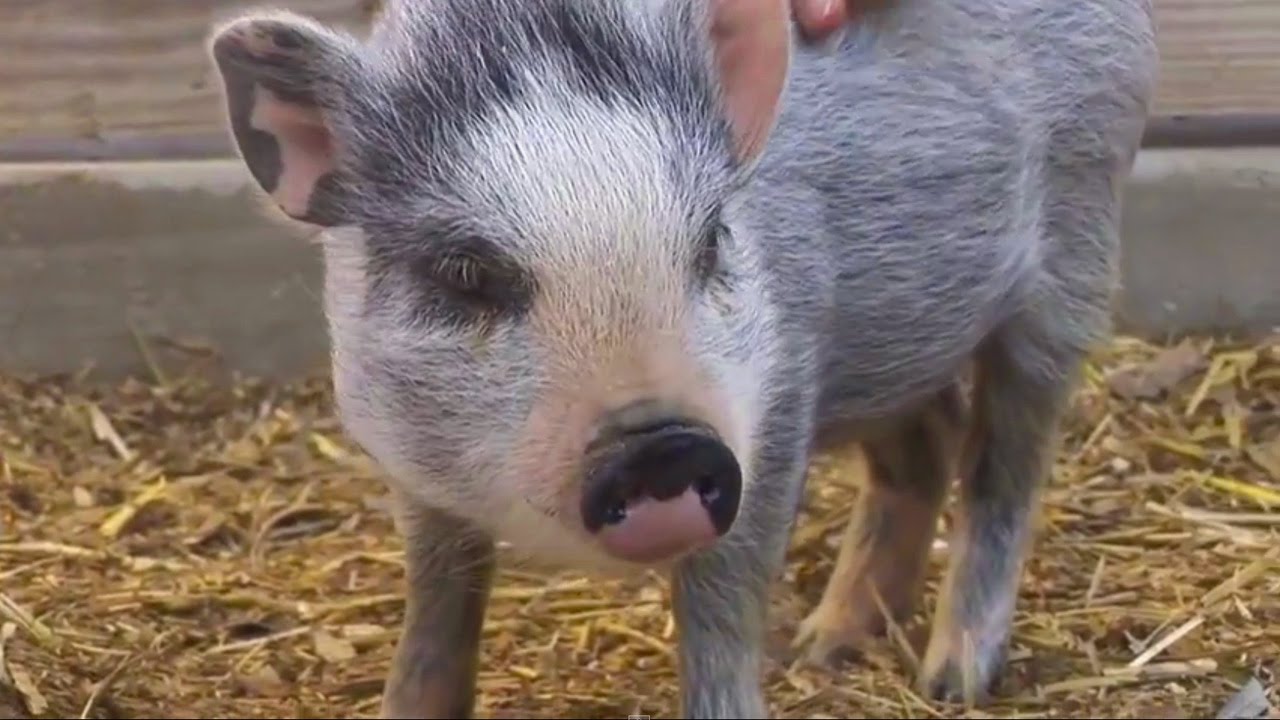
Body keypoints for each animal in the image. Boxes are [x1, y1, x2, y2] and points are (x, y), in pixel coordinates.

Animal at [206, 0, 1158, 716]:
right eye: (467, 274)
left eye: (710, 243)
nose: (663, 444)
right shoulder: (413, 475)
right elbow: (438, 611)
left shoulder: (776, 406)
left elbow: (721, 614)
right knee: (924, 449)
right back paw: (820, 650)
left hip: (1076, 243)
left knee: (1006, 465)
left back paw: (950, 682)